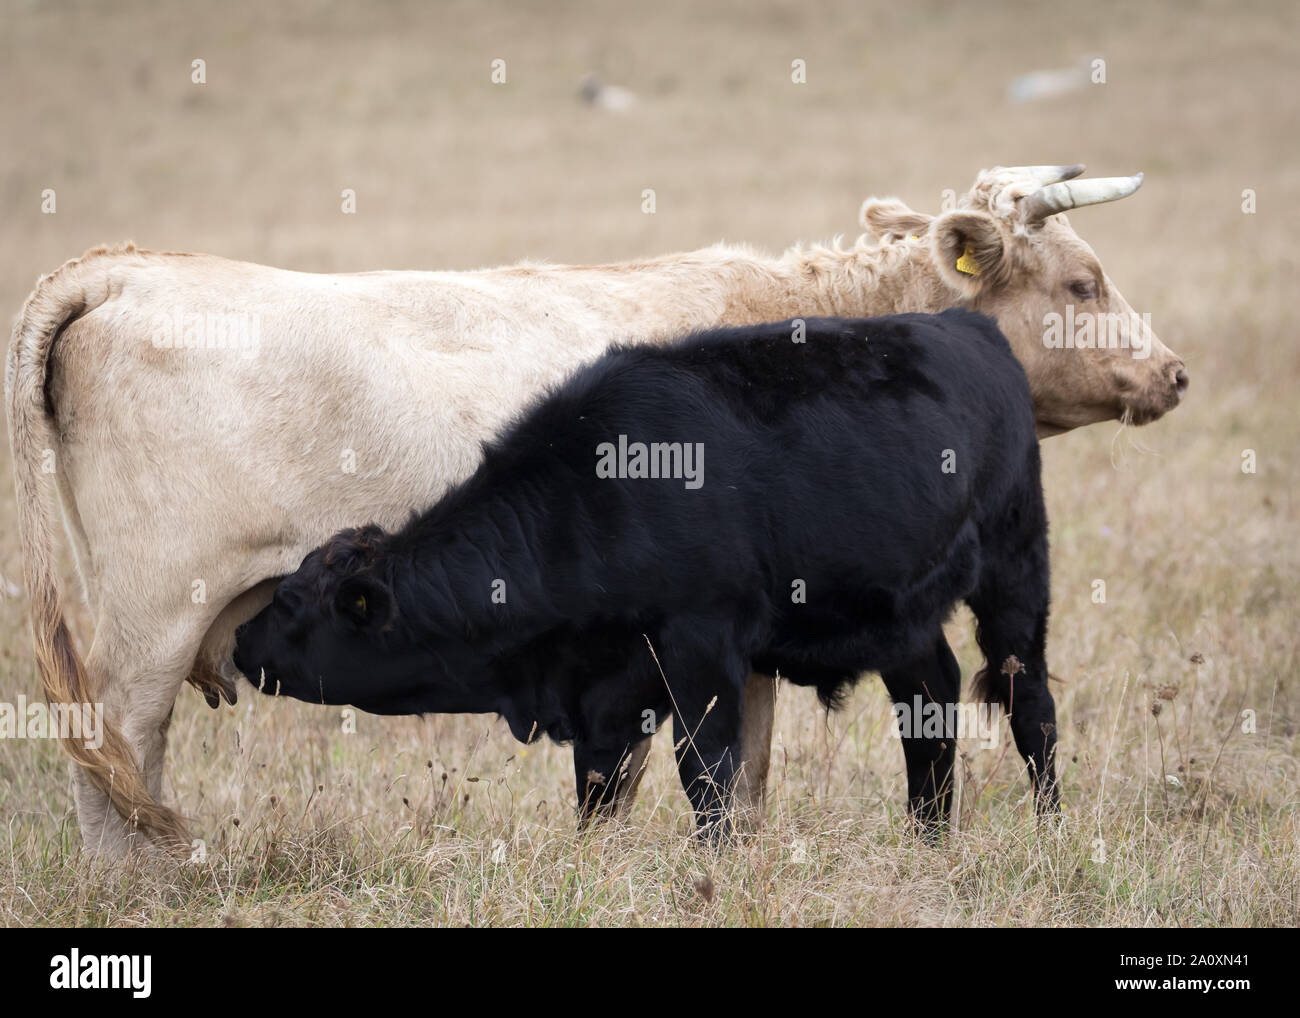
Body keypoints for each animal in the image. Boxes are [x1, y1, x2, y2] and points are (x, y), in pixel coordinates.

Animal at [232, 311, 1057, 838]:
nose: (239, 641)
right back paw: (929, 834)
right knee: (931, 697)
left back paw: (1049, 825)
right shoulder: (606, 688)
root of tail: (965, 322)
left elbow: (709, 774)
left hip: (1016, 568)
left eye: (293, 602)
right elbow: (598, 792)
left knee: (1029, 703)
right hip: (901, 613)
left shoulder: (700, 644)